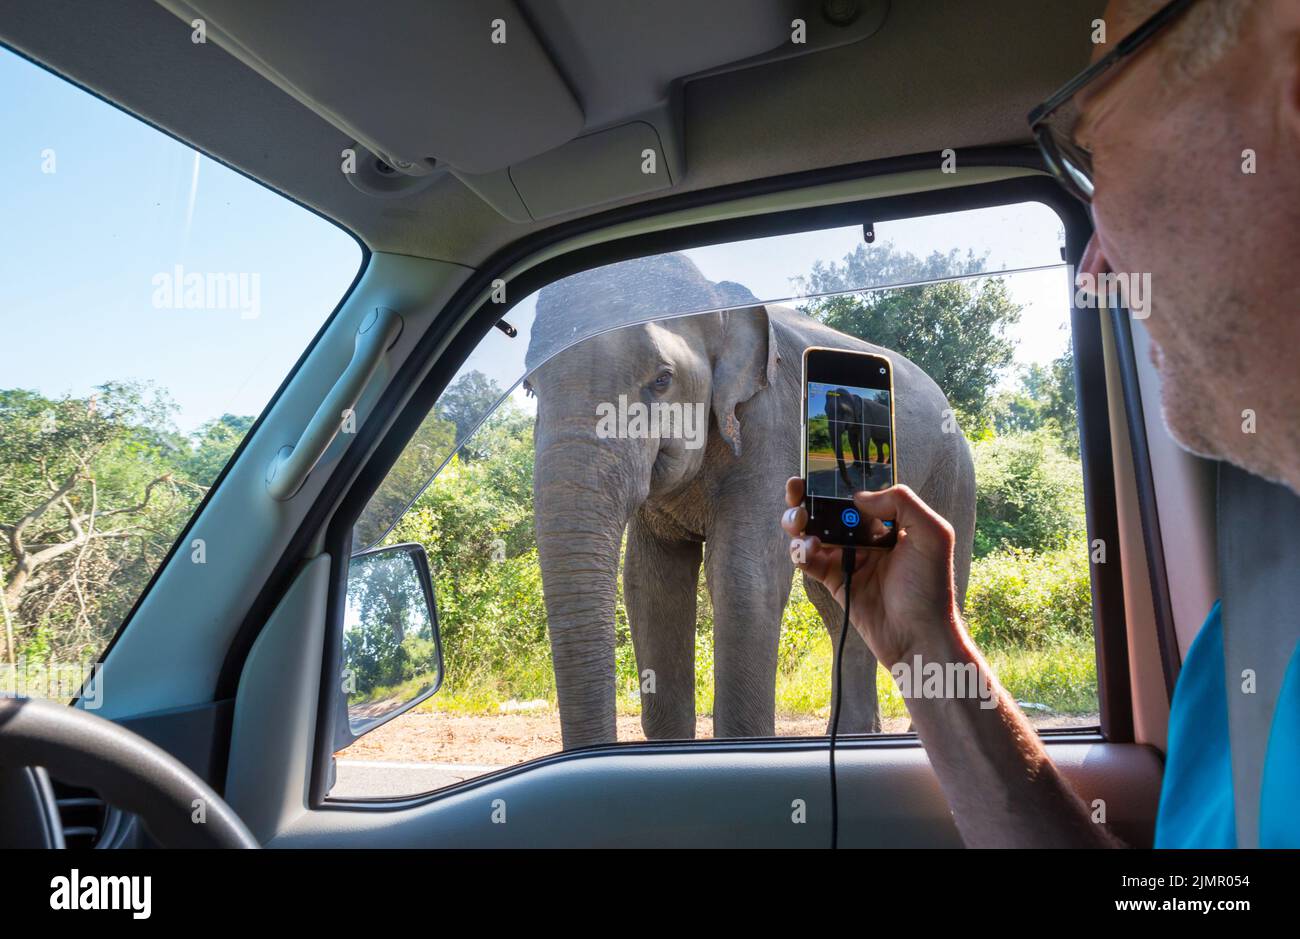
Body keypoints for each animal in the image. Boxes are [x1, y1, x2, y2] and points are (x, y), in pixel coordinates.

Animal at [523, 253, 976, 750]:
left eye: (662, 380)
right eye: (530, 389)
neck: (718, 299)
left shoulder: (771, 429)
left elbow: (744, 580)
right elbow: (650, 585)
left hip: (954, 474)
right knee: (836, 600)